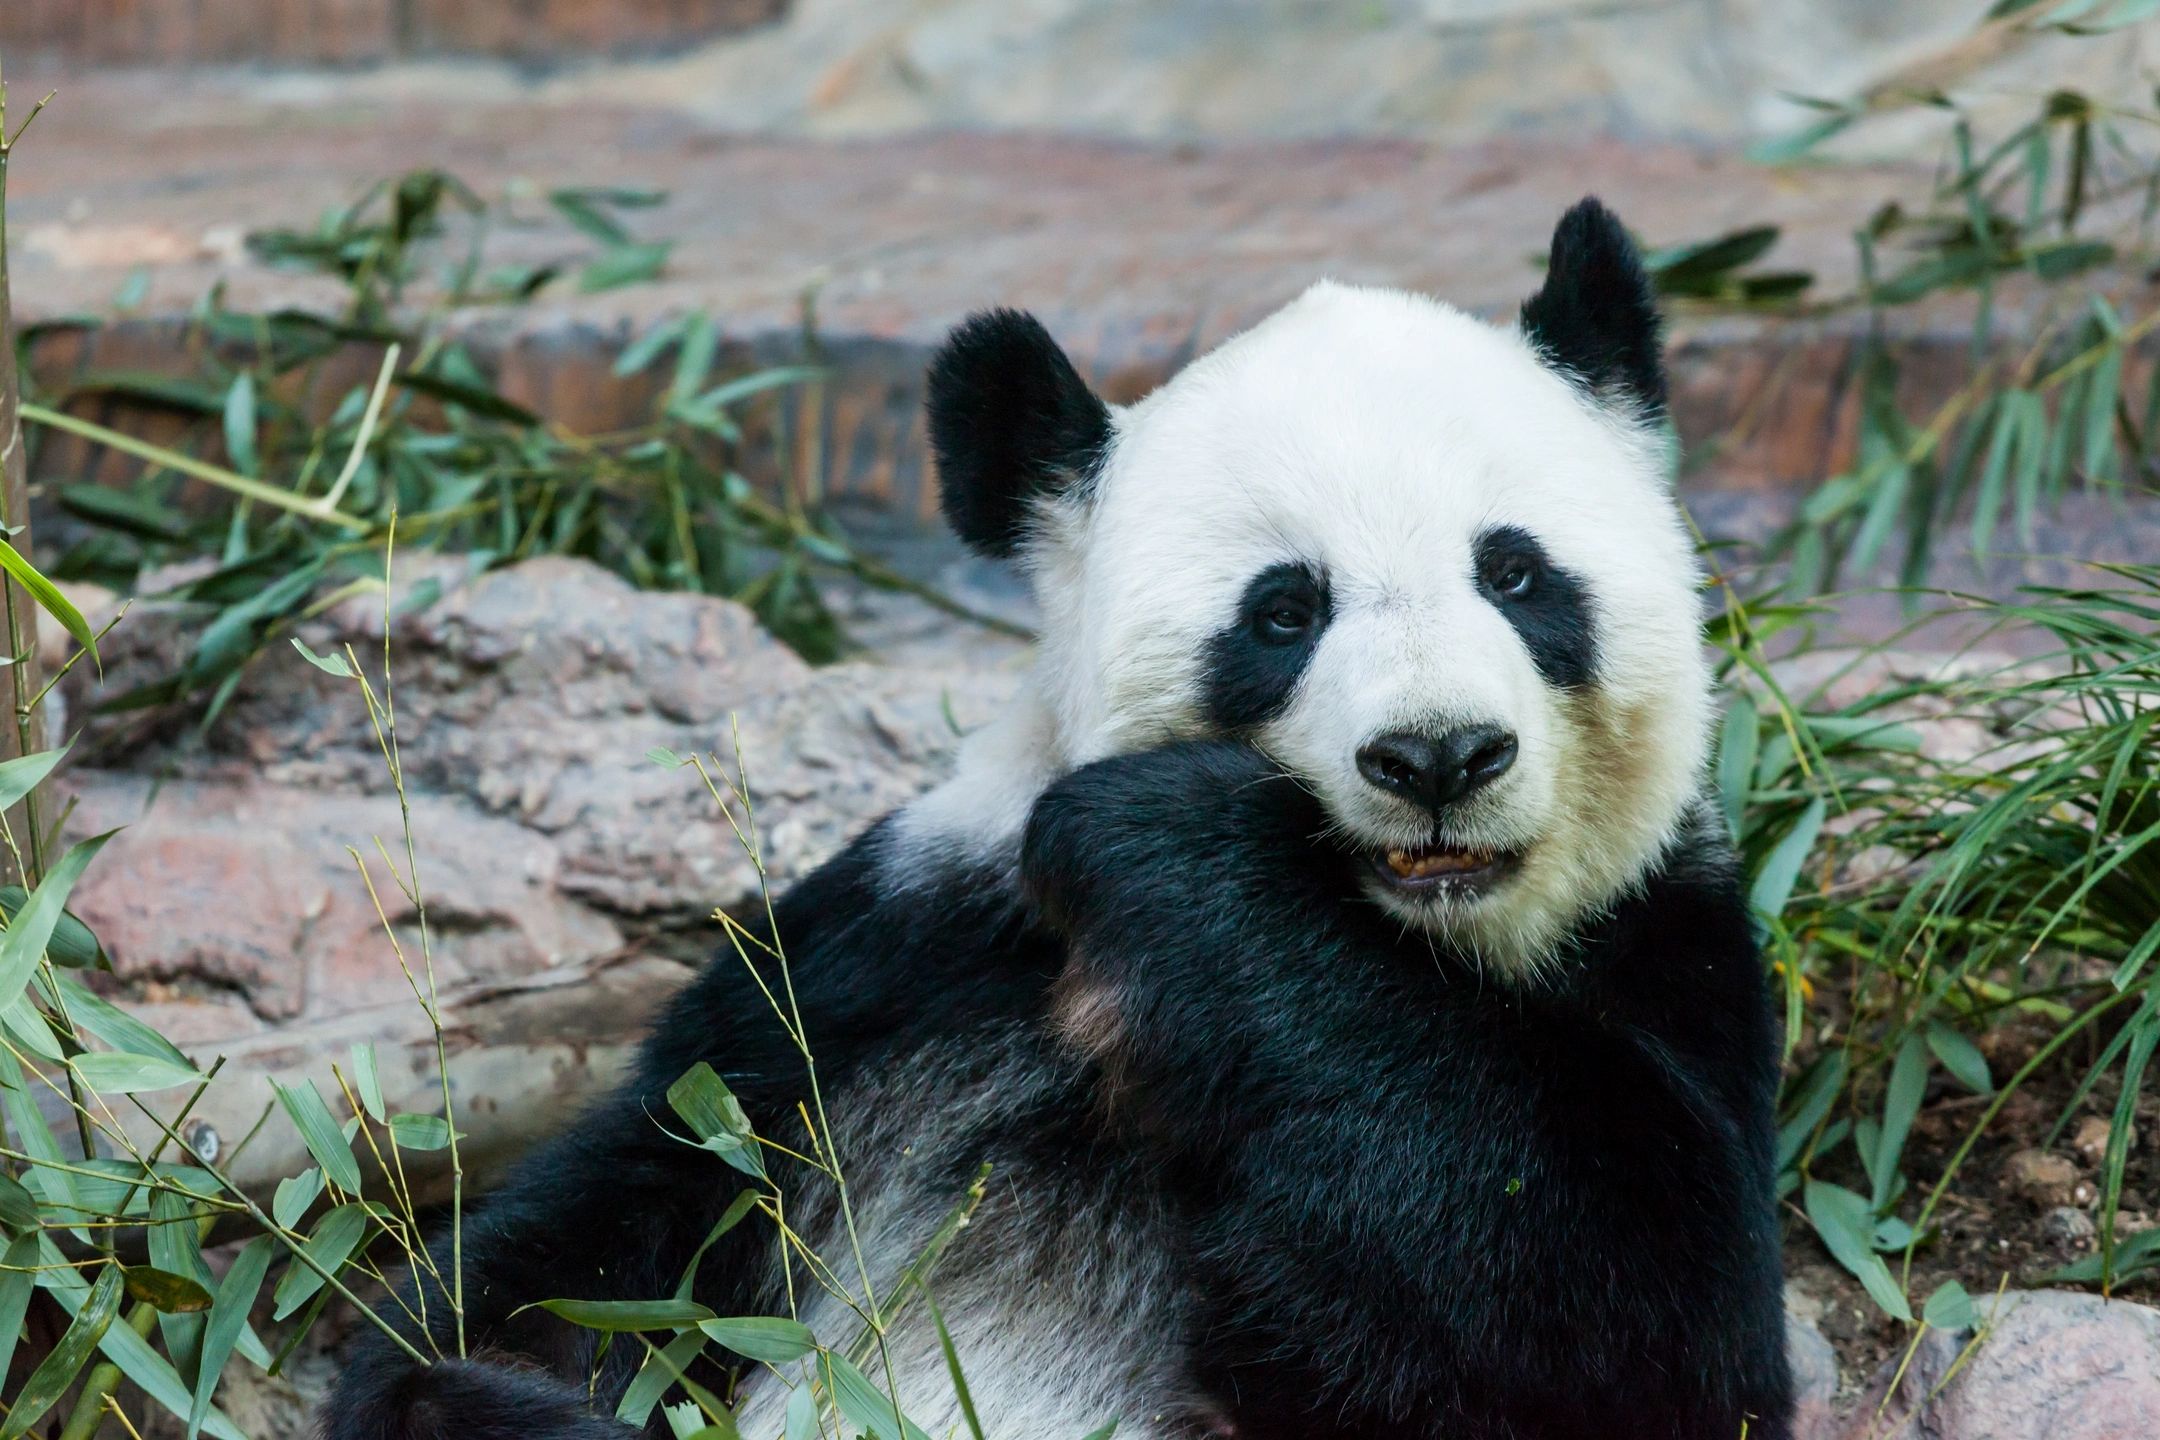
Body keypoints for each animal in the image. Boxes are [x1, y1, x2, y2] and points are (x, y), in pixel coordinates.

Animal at [325, 198, 1791, 1440]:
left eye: (1517, 573)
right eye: (1284, 611)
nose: (1438, 754)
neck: (1415, 944)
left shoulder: (1666, 951)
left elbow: (1641, 1328)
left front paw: (1190, 861)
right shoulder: (878, 978)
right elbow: (563, 1268)